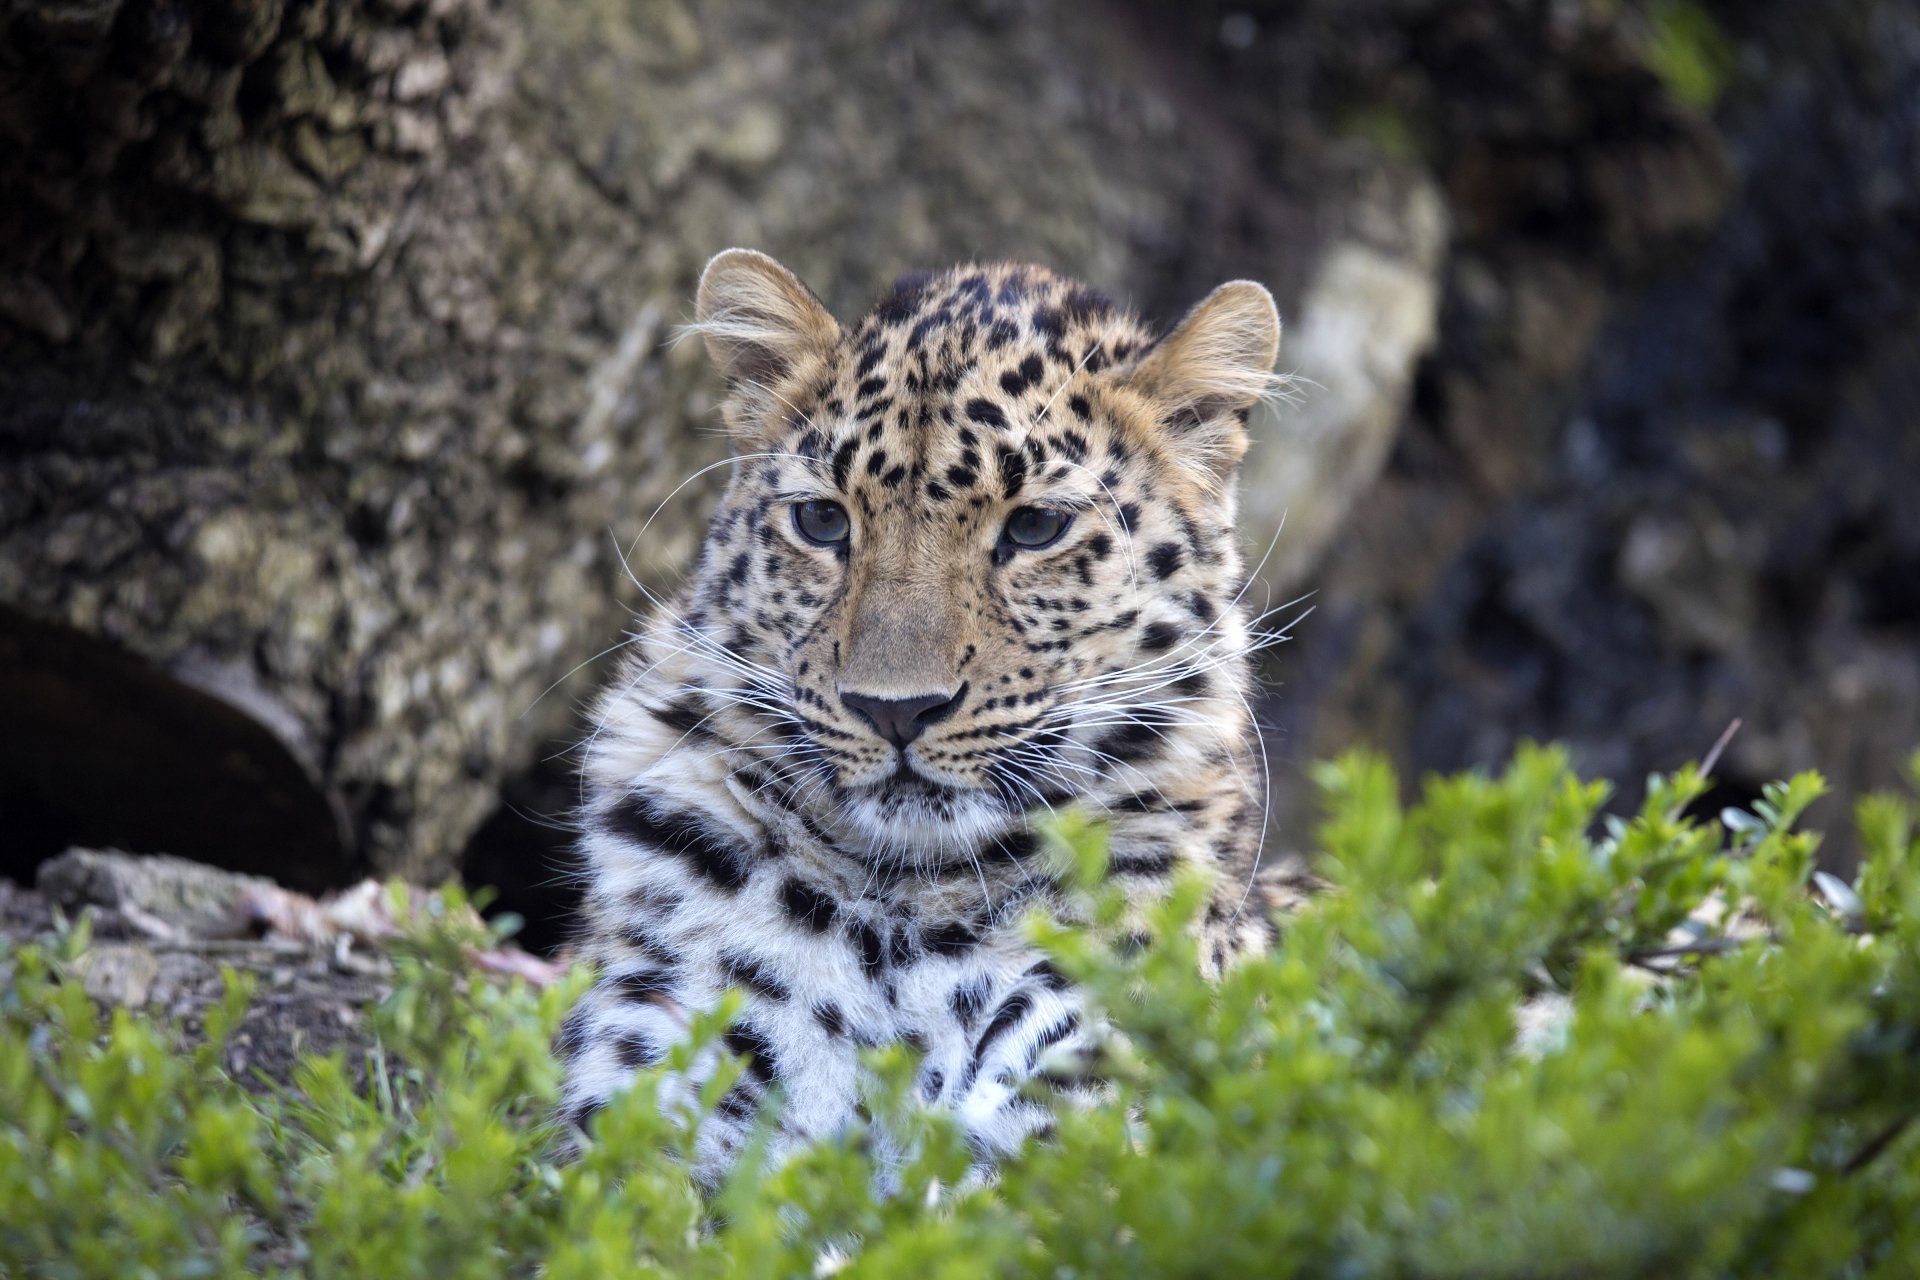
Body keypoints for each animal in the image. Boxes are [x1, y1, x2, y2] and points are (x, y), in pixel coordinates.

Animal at [558, 248, 1288, 1186]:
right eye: (822, 520)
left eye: (1036, 527)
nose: (894, 709)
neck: (907, 912)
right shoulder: (653, 1092)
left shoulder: (1085, 1119)